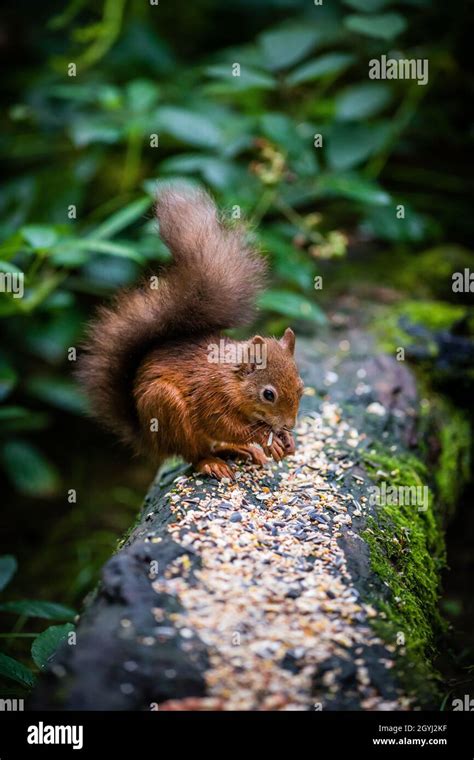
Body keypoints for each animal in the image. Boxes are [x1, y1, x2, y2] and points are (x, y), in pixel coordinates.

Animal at [77, 188, 304, 480]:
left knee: (214, 444)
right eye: (268, 395)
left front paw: (286, 440)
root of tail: (148, 439)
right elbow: (226, 425)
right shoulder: (211, 395)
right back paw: (212, 462)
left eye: (300, 388)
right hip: (165, 406)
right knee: (194, 453)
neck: (232, 379)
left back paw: (240, 450)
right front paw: (267, 437)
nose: (290, 424)